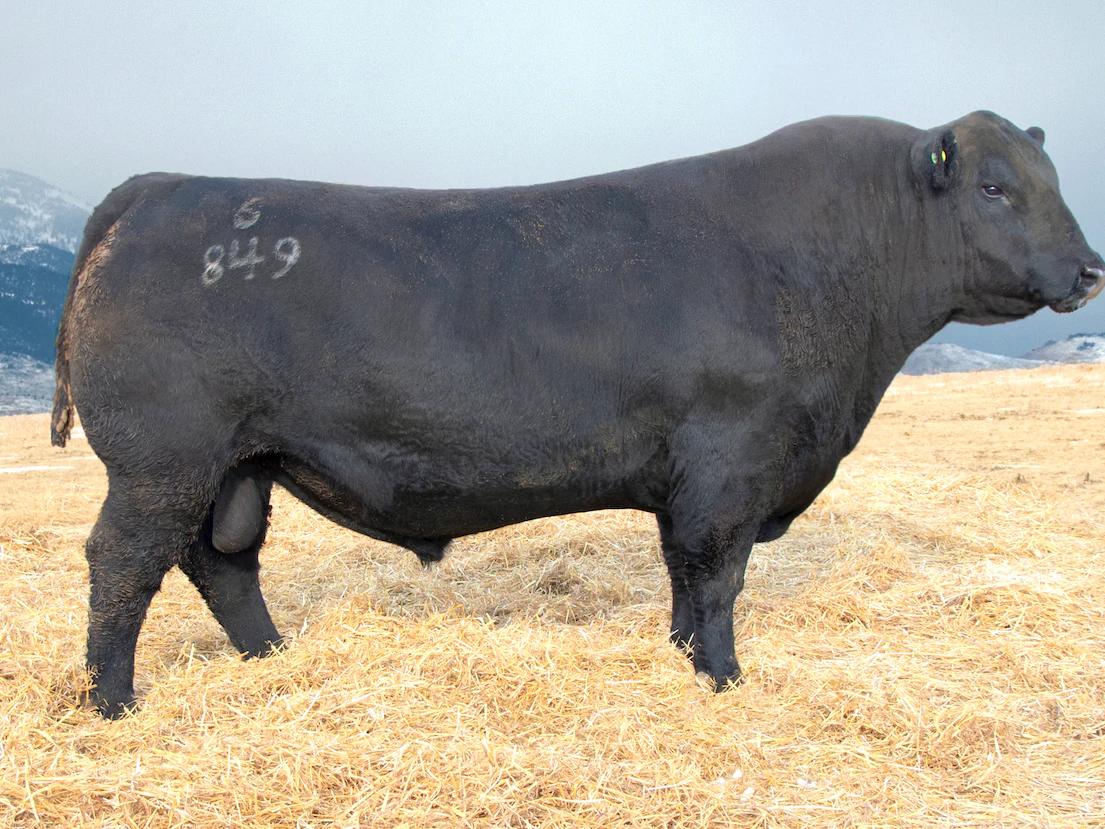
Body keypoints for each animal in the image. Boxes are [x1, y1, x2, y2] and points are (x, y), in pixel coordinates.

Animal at [51, 111, 1103, 718]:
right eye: (993, 186)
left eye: (1048, 182)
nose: (1090, 269)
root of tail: (161, 186)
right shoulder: (731, 461)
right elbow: (717, 578)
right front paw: (724, 679)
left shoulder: (689, 478)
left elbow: (682, 576)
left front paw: (683, 660)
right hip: (161, 461)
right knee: (122, 568)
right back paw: (111, 703)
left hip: (234, 466)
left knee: (221, 563)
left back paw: (273, 659)